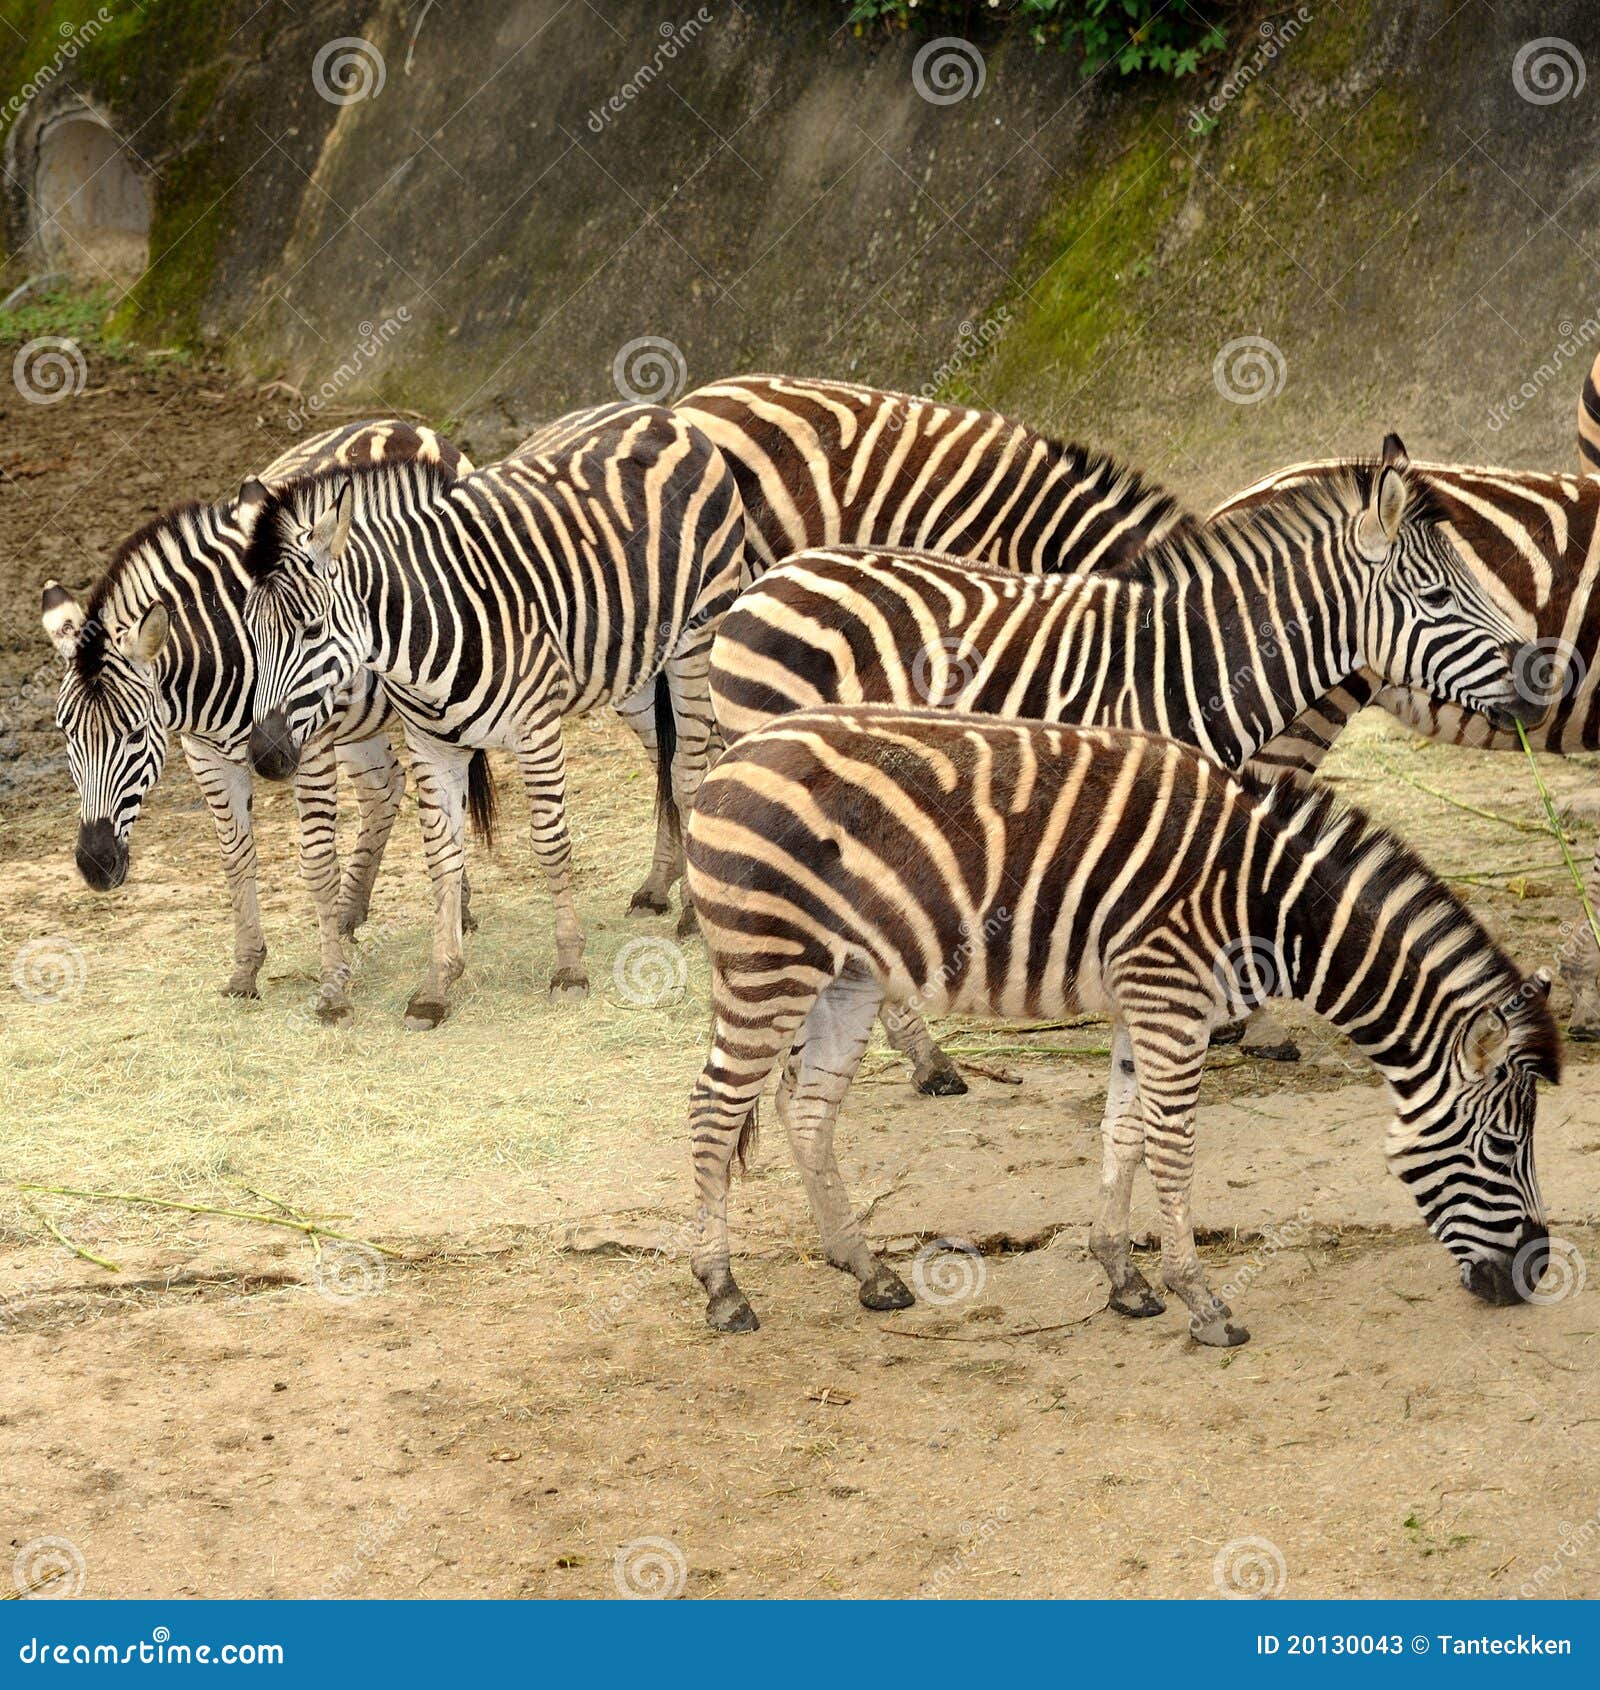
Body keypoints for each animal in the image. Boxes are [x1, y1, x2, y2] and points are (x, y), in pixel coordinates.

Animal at [39, 420, 478, 1023]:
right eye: (66, 735)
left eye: (133, 734)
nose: (95, 865)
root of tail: (408, 426)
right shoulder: (204, 754)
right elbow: (235, 857)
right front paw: (246, 971)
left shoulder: (305, 743)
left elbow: (315, 860)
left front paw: (333, 988)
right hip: (360, 718)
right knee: (386, 789)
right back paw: (353, 911)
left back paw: (455, 911)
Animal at [239, 403, 746, 1028]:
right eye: (251, 633)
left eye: (310, 630)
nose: (265, 755)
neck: (423, 635)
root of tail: (666, 415)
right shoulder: (430, 744)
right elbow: (441, 857)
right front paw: (438, 983)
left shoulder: (536, 730)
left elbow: (550, 843)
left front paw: (569, 969)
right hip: (633, 667)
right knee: (680, 758)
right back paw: (666, 887)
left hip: (697, 637)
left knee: (689, 774)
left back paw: (695, 915)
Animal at [684, 705, 1560, 1341]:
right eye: (1501, 1147)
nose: (1538, 1273)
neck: (1267, 904)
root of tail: (732, 754)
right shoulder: (1171, 999)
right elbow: (1174, 1148)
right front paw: (1202, 1300)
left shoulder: (1149, 1006)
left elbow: (1125, 1132)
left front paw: (1124, 1277)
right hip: (770, 963)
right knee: (713, 1109)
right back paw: (724, 1292)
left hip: (848, 976)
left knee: (807, 1113)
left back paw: (869, 1273)